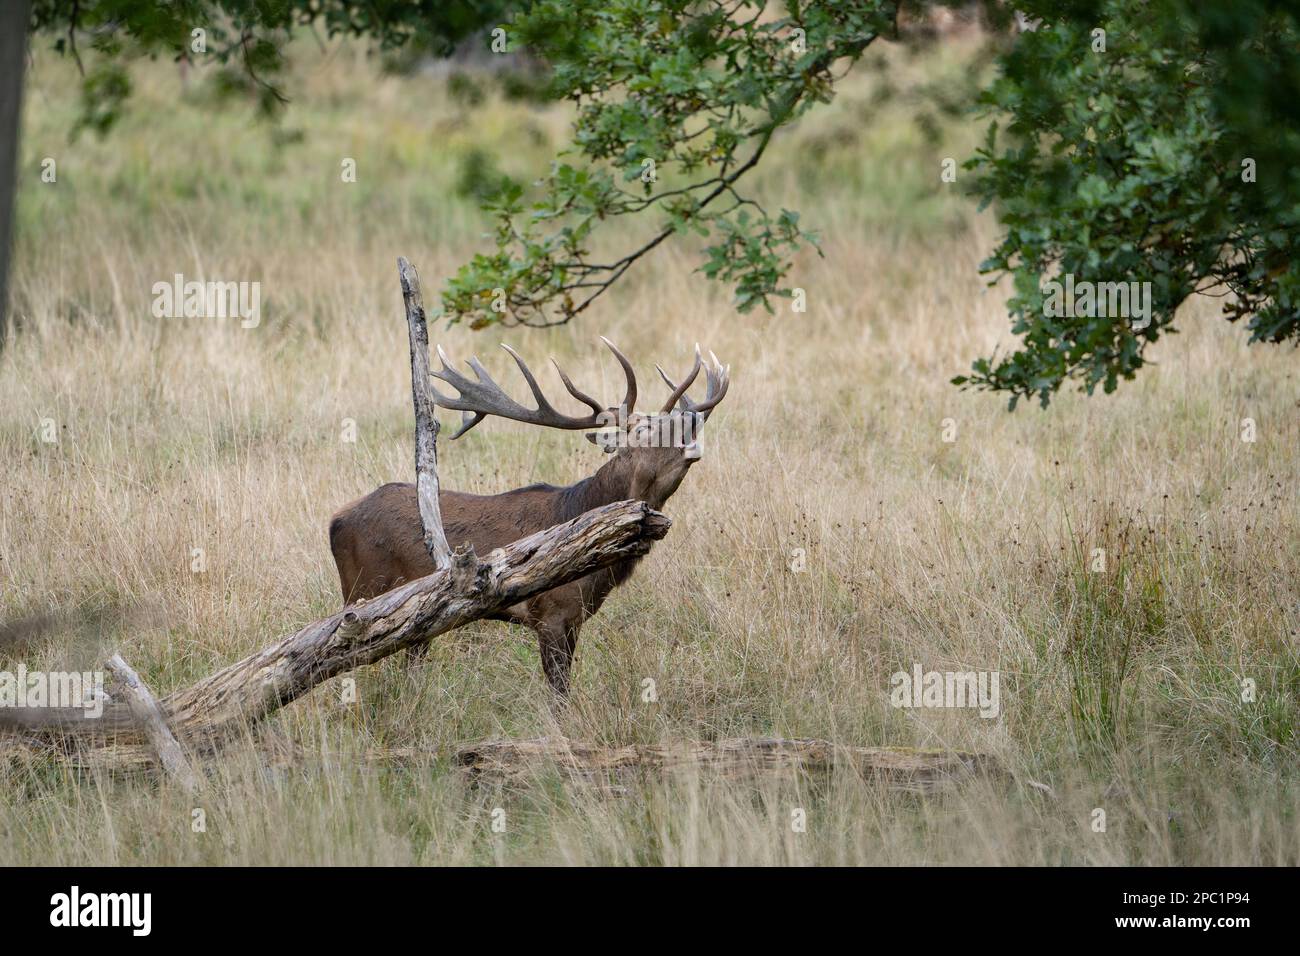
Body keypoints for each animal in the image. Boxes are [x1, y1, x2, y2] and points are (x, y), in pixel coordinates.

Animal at [328, 338, 730, 696]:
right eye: (645, 430)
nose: (691, 425)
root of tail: (336, 520)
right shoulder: (552, 612)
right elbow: (559, 694)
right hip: (364, 590)